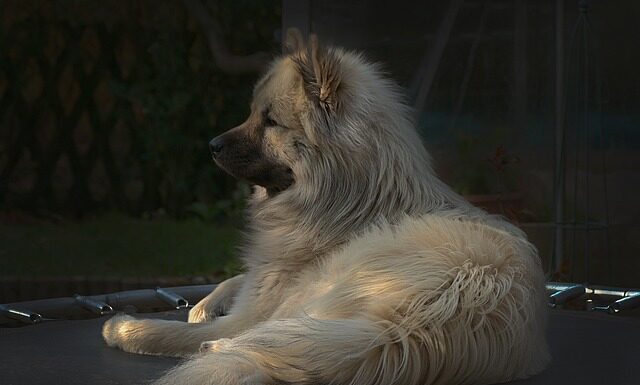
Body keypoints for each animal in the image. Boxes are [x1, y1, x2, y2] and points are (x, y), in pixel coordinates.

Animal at [102, 30, 548, 384]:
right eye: (252, 113)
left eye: (270, 121)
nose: (211, 146)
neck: (347, 198)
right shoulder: (264, 277)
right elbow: (234, 279)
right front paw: (203, 303)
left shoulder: (259, 306)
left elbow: (179, 330)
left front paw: (128, 329)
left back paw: (208, 345)